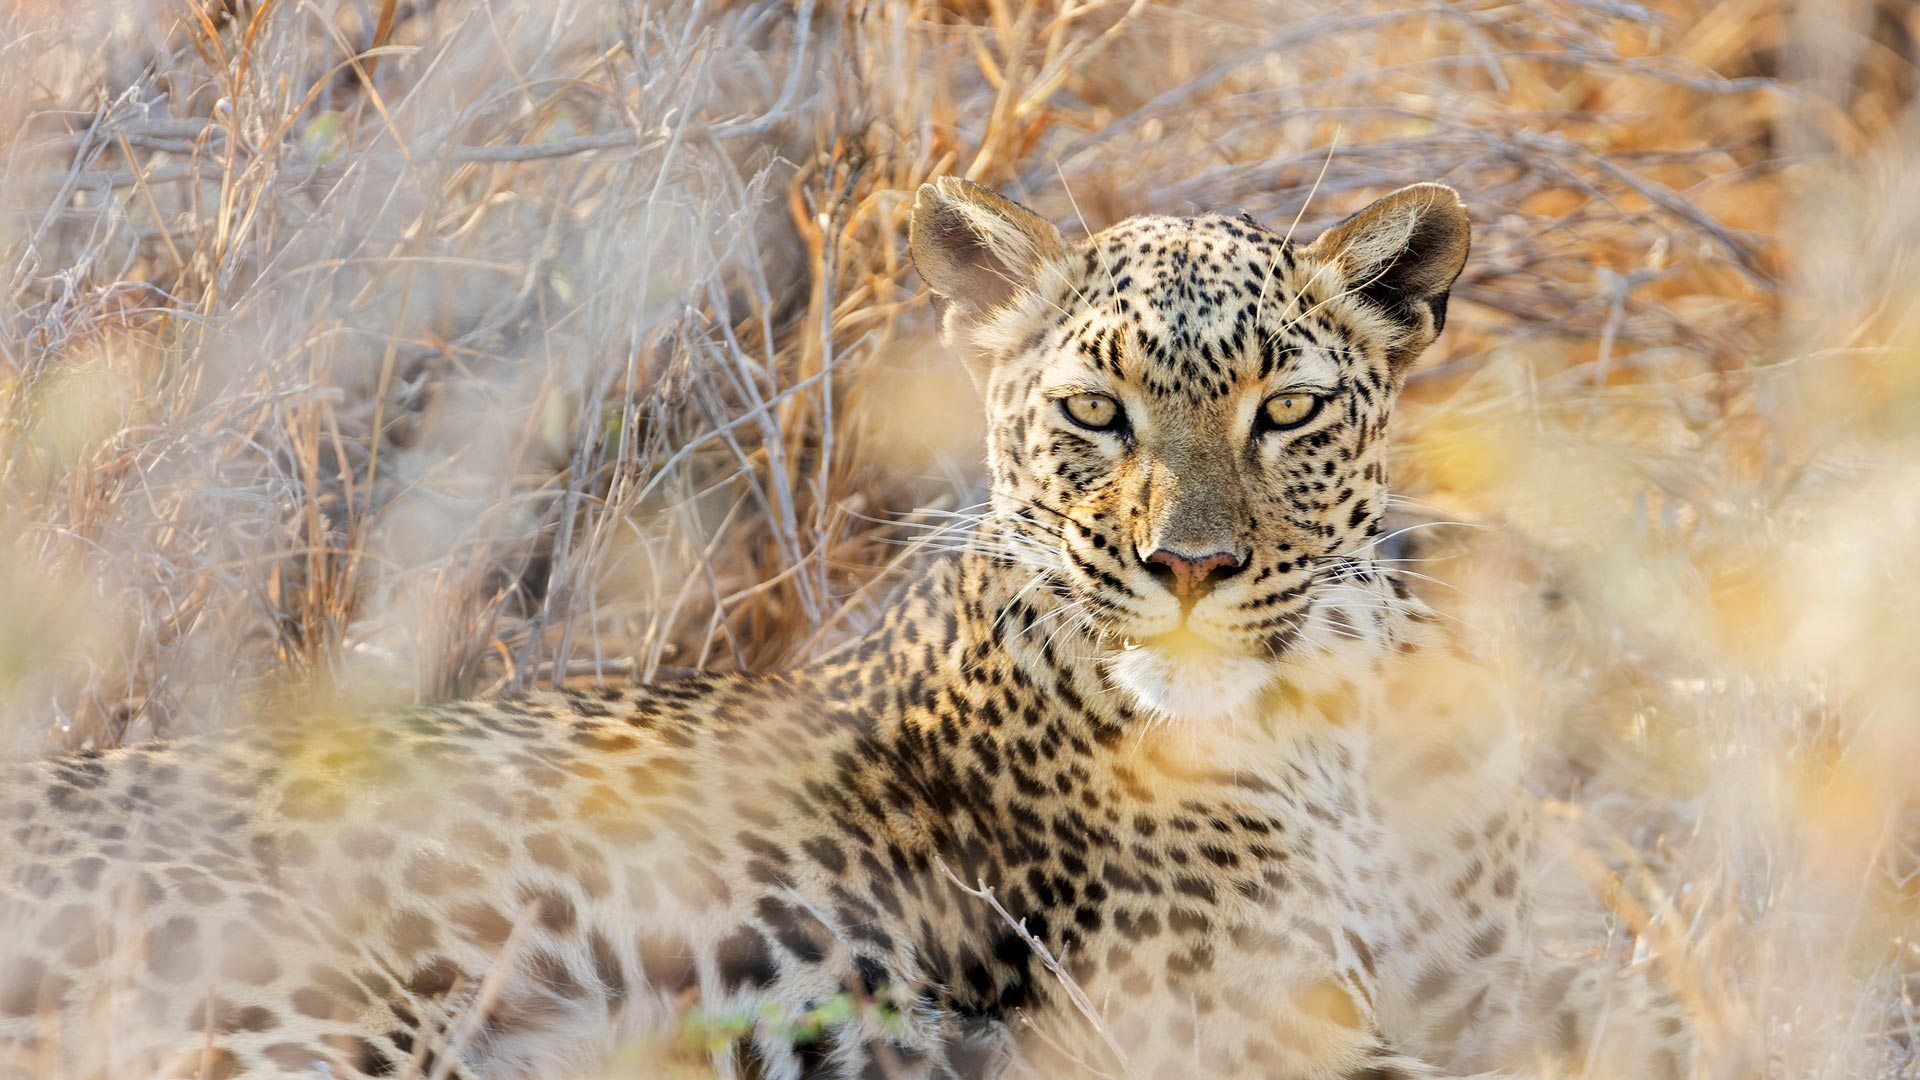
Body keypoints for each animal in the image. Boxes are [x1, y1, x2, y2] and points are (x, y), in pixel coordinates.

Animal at [0, 177, 1693, 1080]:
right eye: (1096, 412)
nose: (1190, 566)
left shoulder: (1506, 986)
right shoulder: (1223, 1034)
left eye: (1283, 413)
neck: (1324, 720)